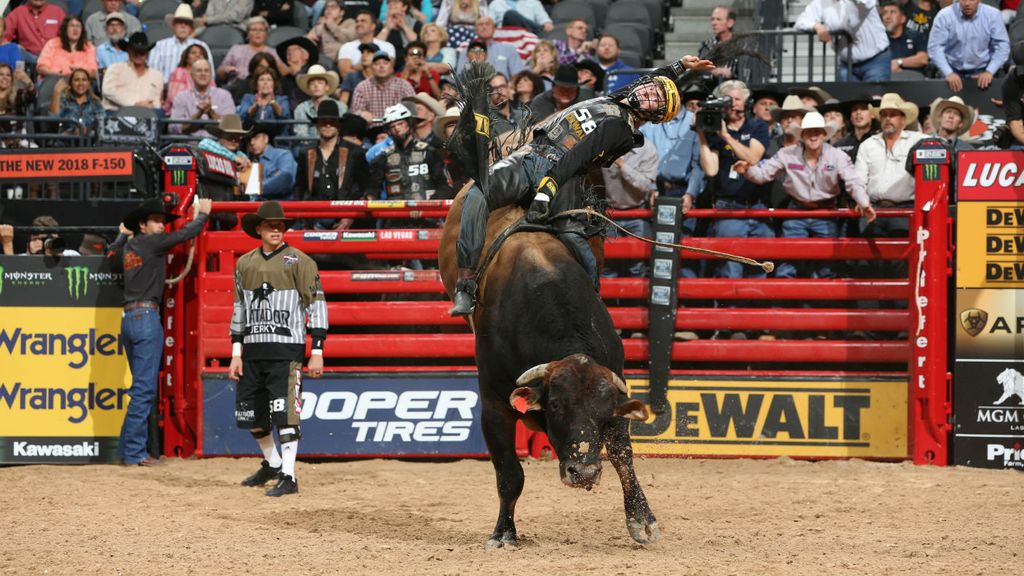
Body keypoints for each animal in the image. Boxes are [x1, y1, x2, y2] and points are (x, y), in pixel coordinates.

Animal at [438, 185, 659, 549]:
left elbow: (622, 457)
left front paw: (642, 519)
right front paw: (503, 533)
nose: (583, 473)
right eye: (555, 405)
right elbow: (510, 474)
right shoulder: (493, 406)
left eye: (603, 411)